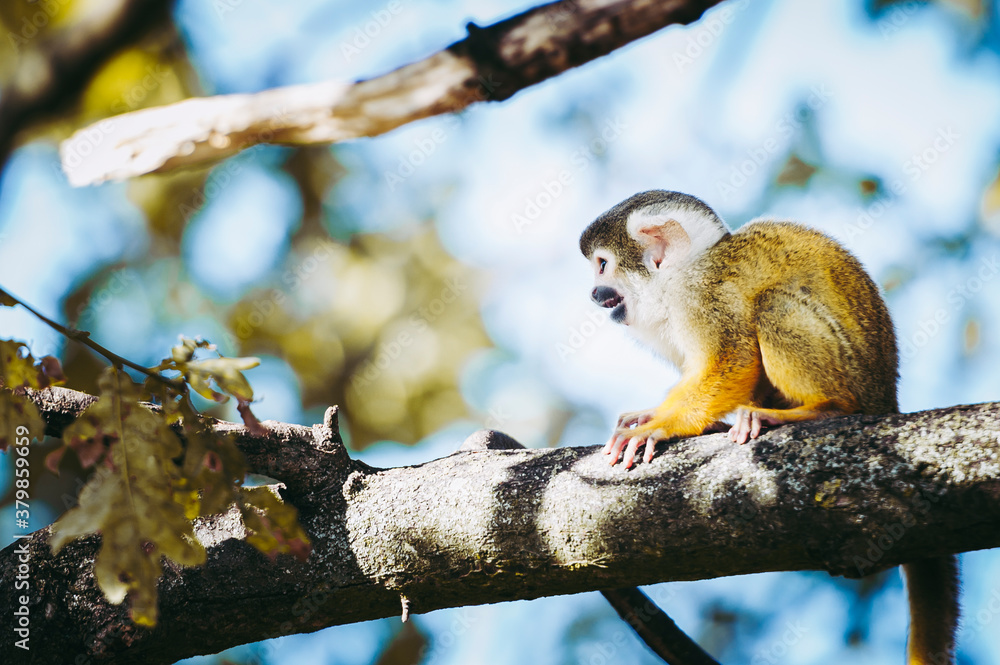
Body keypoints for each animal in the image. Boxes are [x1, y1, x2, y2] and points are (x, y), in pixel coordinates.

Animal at [580, 190, 959, 665]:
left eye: (601, 265)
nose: (594, 294)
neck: (681, 277)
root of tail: (886, 397)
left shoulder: (701, 297)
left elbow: (734, 358)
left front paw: (659, 427)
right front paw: (653, 415)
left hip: (852, 372)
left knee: (772, 304)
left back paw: (828, 410)